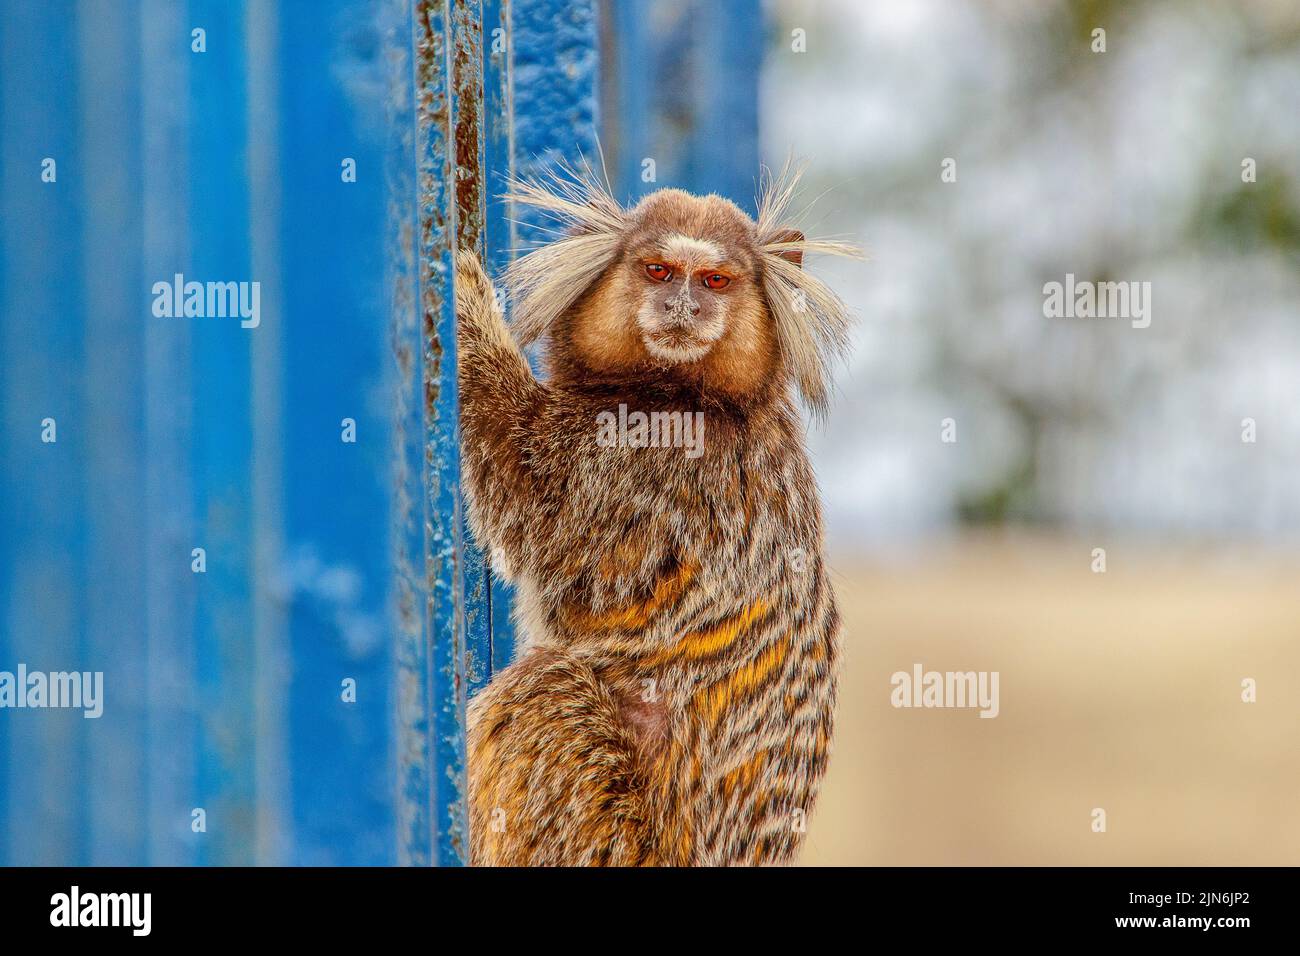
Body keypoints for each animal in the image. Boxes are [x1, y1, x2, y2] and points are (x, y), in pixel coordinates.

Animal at [455, 163, 859, 866]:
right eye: (659, 271)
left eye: (716, 280)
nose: (685, 308)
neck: (681, 397)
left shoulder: (643, 470)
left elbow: (529, 507)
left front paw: (466, 305)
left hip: (609, 833)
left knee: (547, 695)